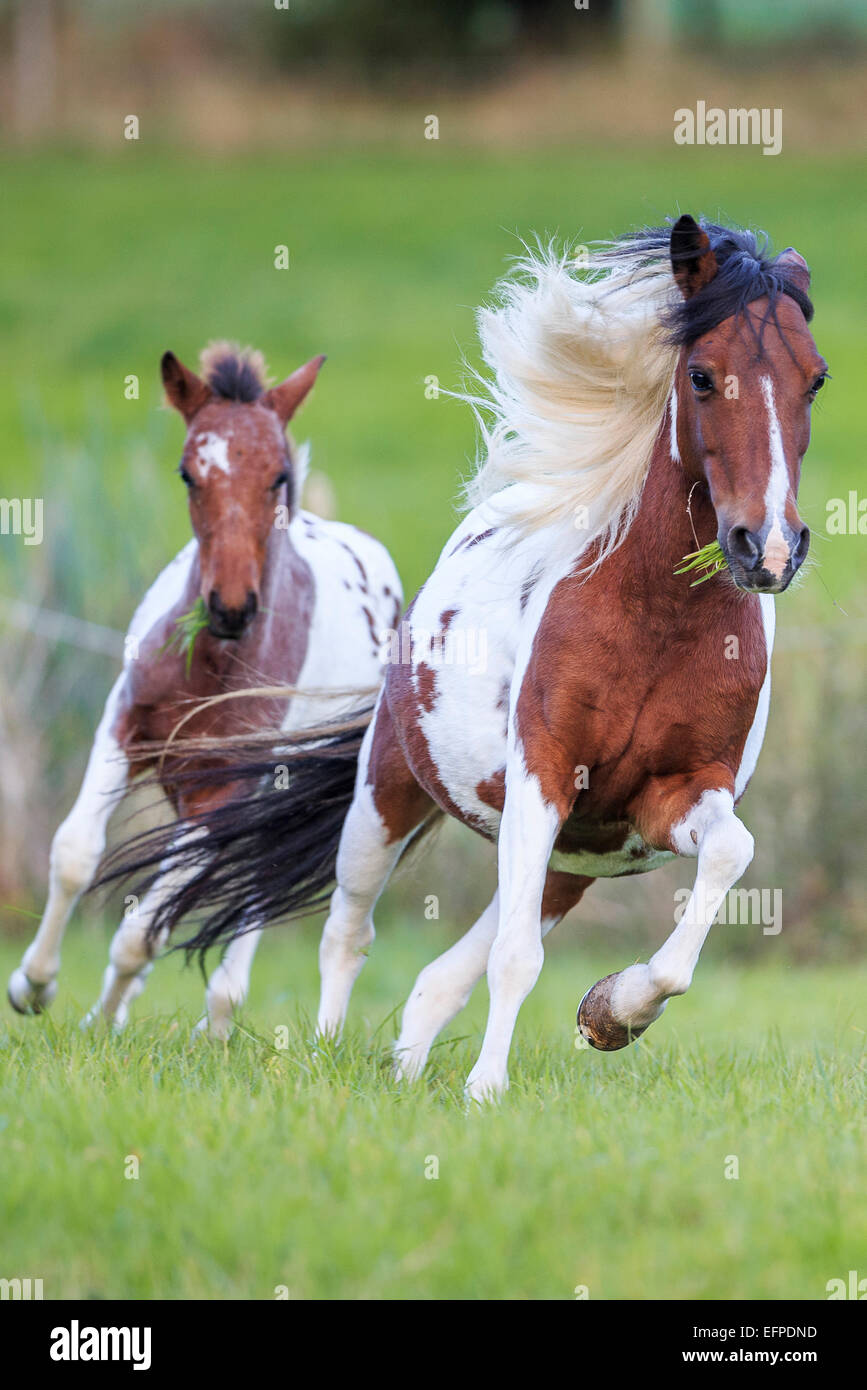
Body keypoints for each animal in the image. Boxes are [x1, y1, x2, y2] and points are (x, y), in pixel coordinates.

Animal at [7, 342, 402, 1037]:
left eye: (277, 475)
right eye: (188, 473)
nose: (232, 606)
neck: (211, 666)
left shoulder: (223, 791)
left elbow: (142, 933)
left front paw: (97, 1024)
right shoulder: (123, 725)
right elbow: (75, 853)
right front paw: (33, 986)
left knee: (255, 884)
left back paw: (217, 1019)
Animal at [100, 216, 827, 1099]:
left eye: (814, 380)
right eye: (700, 374)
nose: (769, 547)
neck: (654, 624)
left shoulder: (667, 800)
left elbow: (726, 856)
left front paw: (611, 1012)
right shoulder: (542, 772)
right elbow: (513, 957)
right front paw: (487, 1089)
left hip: (573, 859)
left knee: (445, 969)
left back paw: (409, 1062)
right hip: (390, 793)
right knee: (351, 929)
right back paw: (326, 1054)